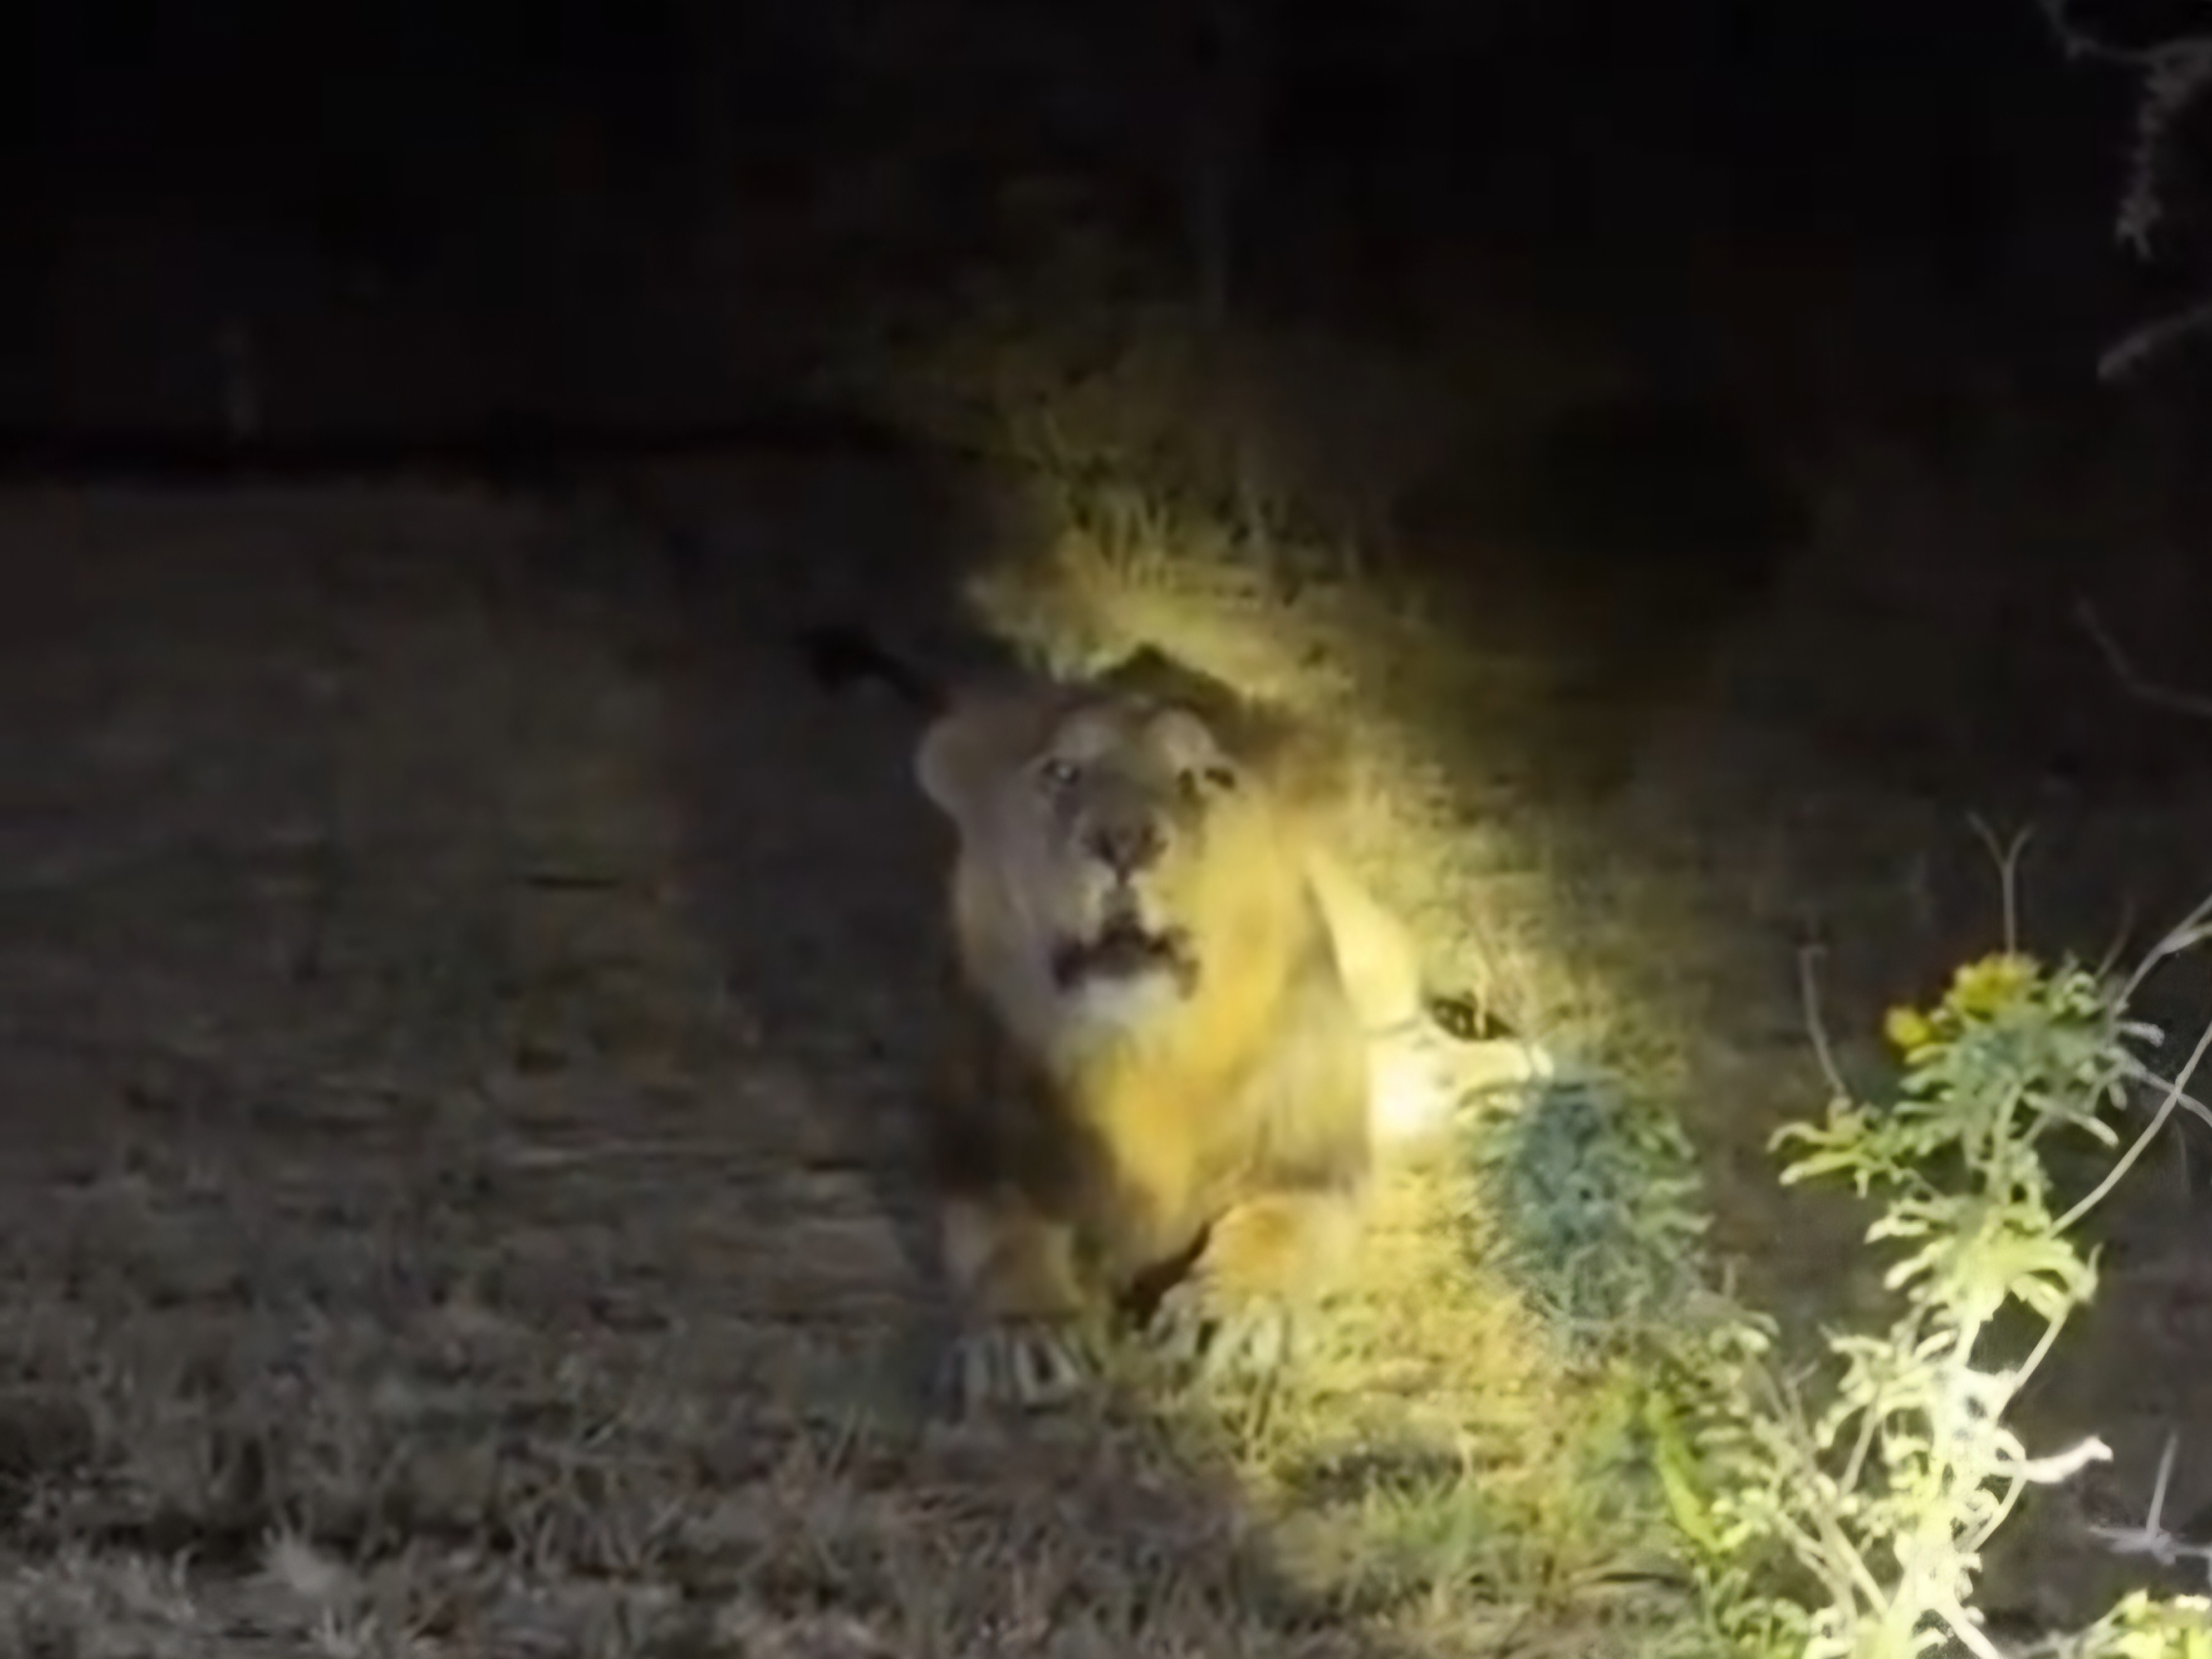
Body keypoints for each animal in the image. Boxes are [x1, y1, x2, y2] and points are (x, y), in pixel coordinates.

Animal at [910, 647, 1505, 1412]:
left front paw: (1226, 1314)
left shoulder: (1319, 1166)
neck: (1146, 1058)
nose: (1124, 839)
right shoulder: (980, 1152)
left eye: (1204, 778)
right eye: (1063, 772)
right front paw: (1026, 1334)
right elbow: (1000, 1235)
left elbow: (1275, 1227)